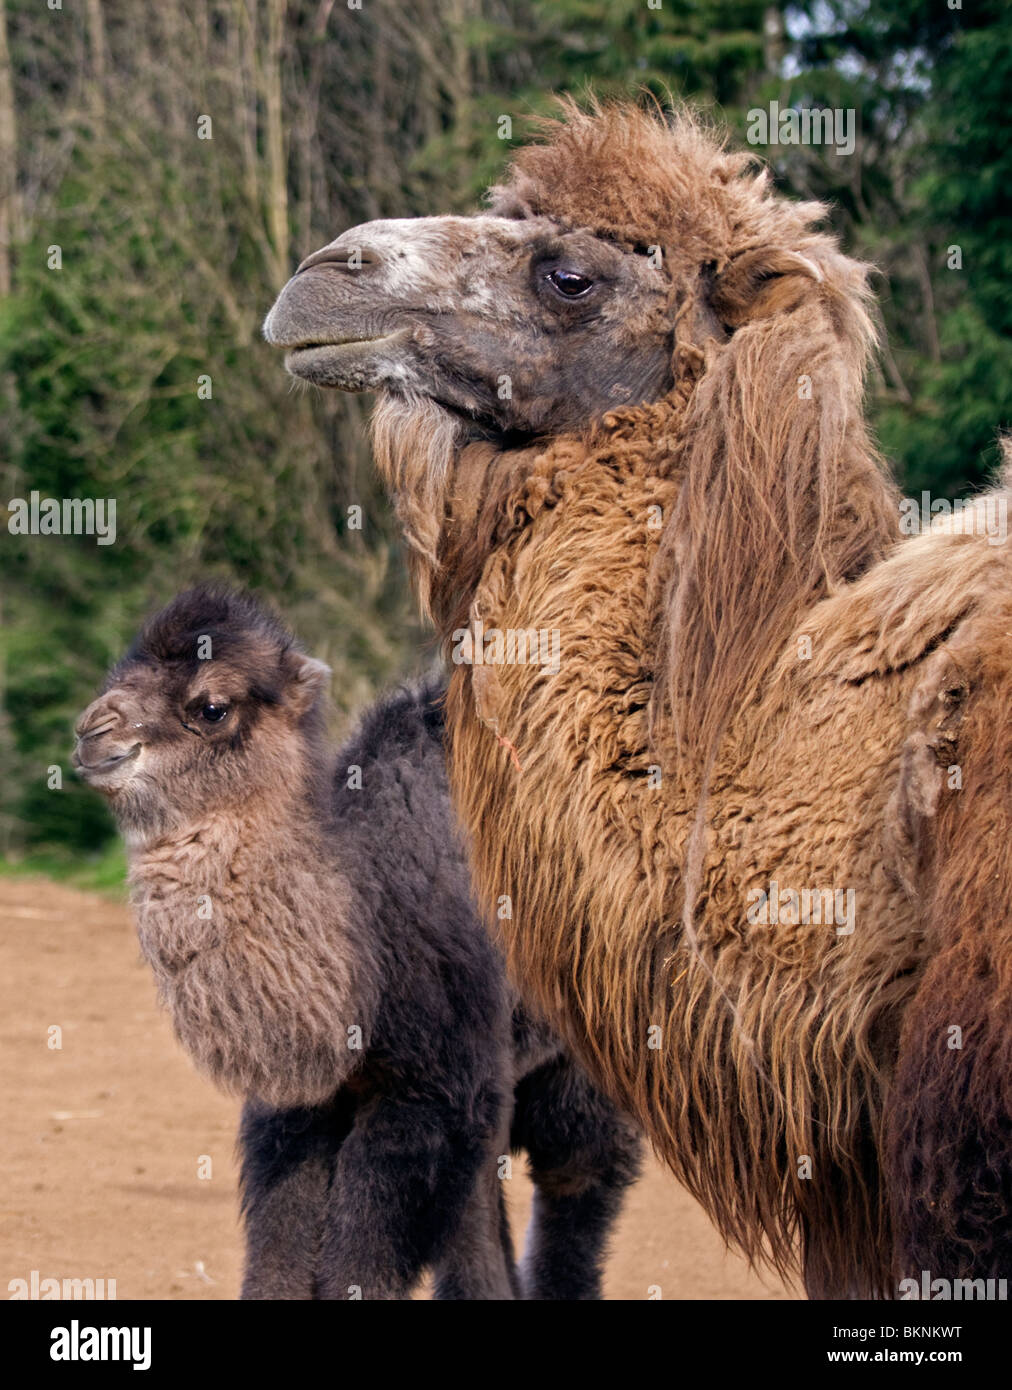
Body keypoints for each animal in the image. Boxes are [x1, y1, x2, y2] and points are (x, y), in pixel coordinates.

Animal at [73, 585, 641, 1299]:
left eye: (211, 706)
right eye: (118, 675)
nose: (92, 732)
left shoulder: (429, 1086)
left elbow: (361, 1259)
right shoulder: (303, 1106)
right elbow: (281, 1246)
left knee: (582, 1171)